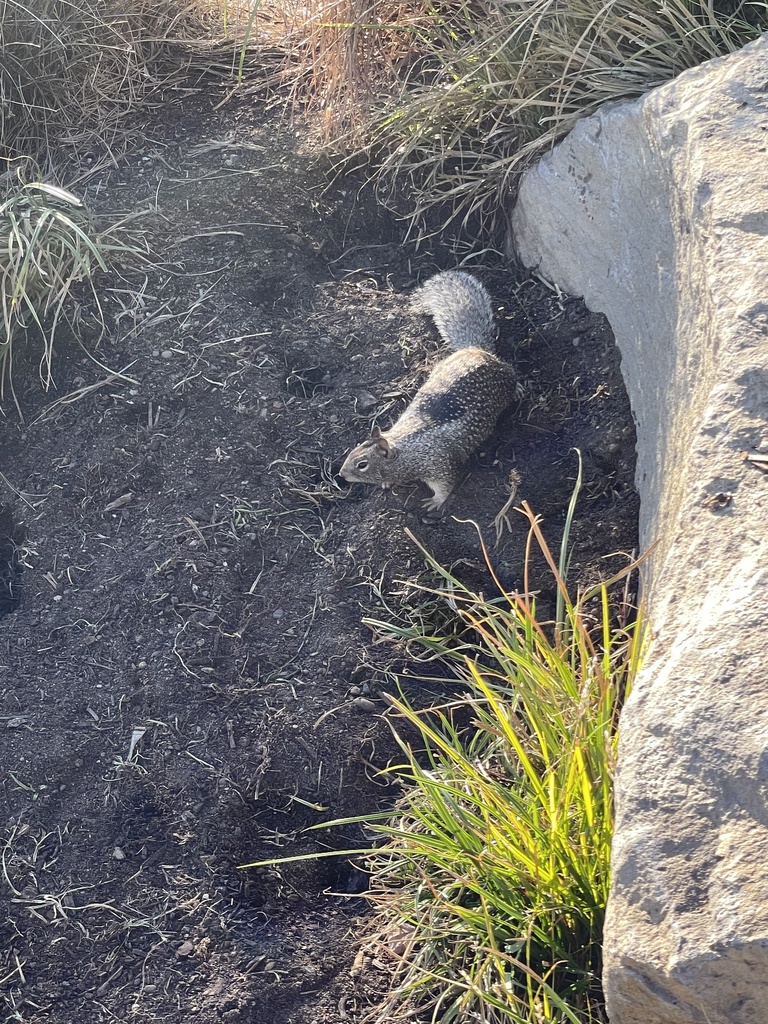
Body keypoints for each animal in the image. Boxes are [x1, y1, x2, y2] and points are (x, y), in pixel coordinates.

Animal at [340, 270, 517, 511]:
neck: (403, 451)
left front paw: (435, 501)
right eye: (353, 450)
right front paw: (387, 482)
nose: (341, 474)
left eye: (362, 464)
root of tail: (475, 349)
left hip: (505, 380)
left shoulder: (437, 464)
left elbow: (445, 483)